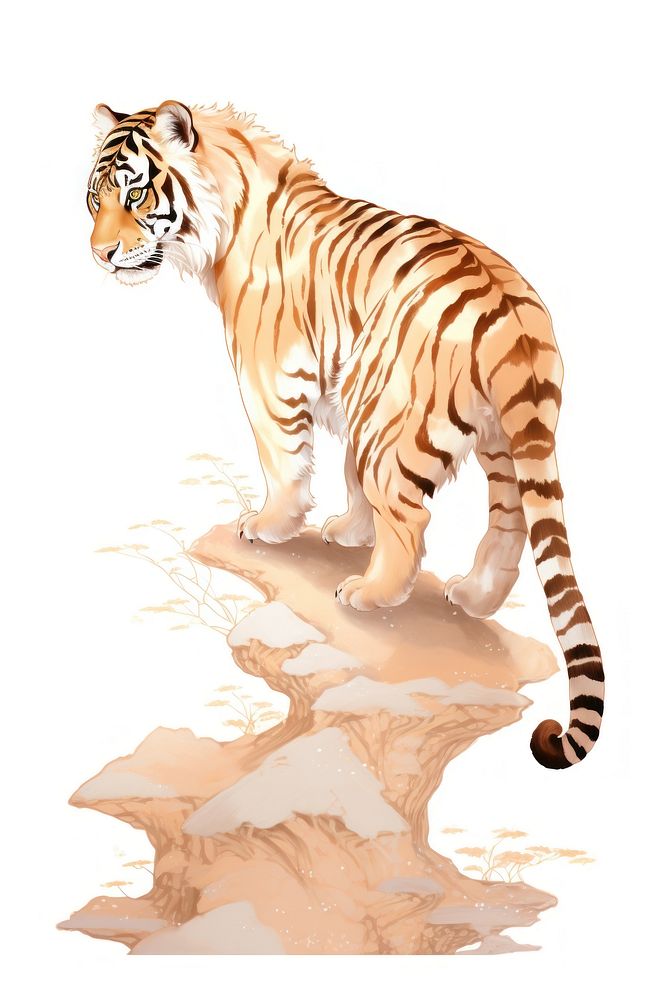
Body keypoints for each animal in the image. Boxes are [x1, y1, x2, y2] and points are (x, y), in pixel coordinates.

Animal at [87, 100, 604, 769]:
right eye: (94, 199)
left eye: (135, 193)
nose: (99, 254)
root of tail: (509, 304)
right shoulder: (353, 388)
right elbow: (350, 474)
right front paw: (349, 532)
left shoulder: (270, 372)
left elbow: (284, 458)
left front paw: (271, 527)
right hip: (499, 435)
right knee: (510, 521)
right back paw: (472, 596)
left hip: (400, 417)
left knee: (411, 520)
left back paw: (370, 593)